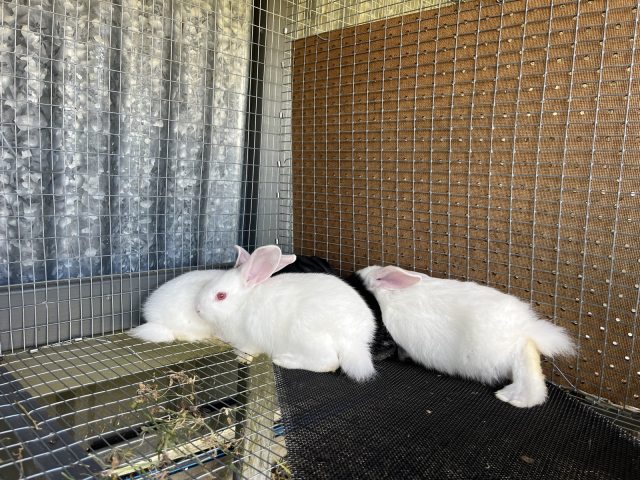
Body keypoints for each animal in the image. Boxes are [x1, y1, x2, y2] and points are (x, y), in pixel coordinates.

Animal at [195, 245, 377, 382]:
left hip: (305, 337)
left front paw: (242, 358)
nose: (197, 309)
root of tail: (355, 339)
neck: (241, 304)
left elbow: (248, 350)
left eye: (221, 296)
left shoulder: (249, 339)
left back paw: (283, 360)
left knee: (329, 362)